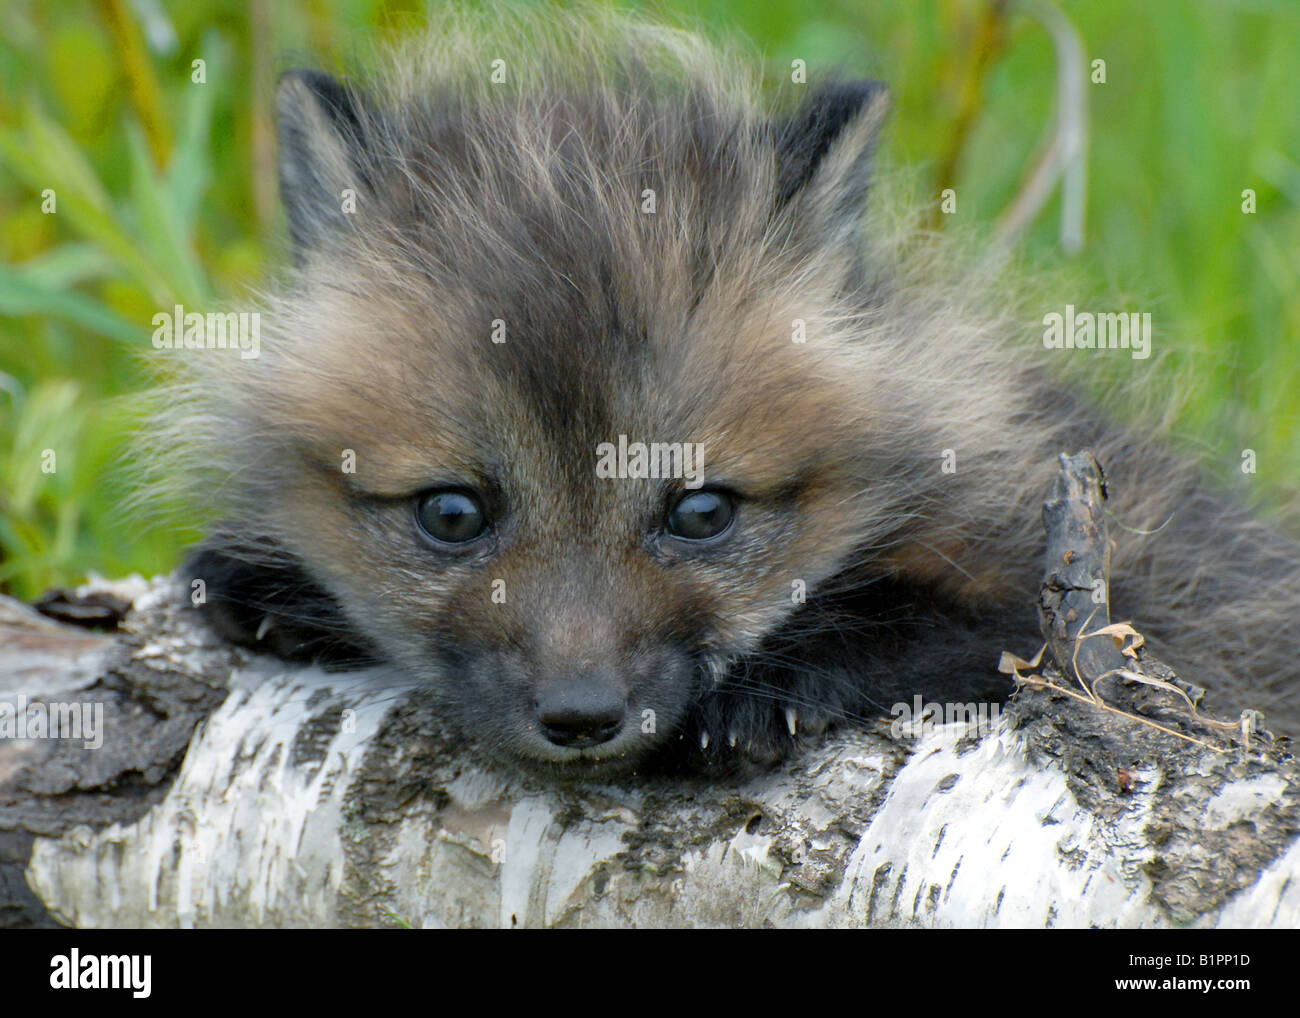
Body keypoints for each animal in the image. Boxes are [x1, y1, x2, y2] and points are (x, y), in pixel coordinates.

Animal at [163, 7, 1299, 774]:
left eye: (702, 511)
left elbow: (938, 624)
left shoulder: (1131, 620)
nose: (582, 715)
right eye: (451, 513)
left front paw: (779, 683)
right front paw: (273, 583)